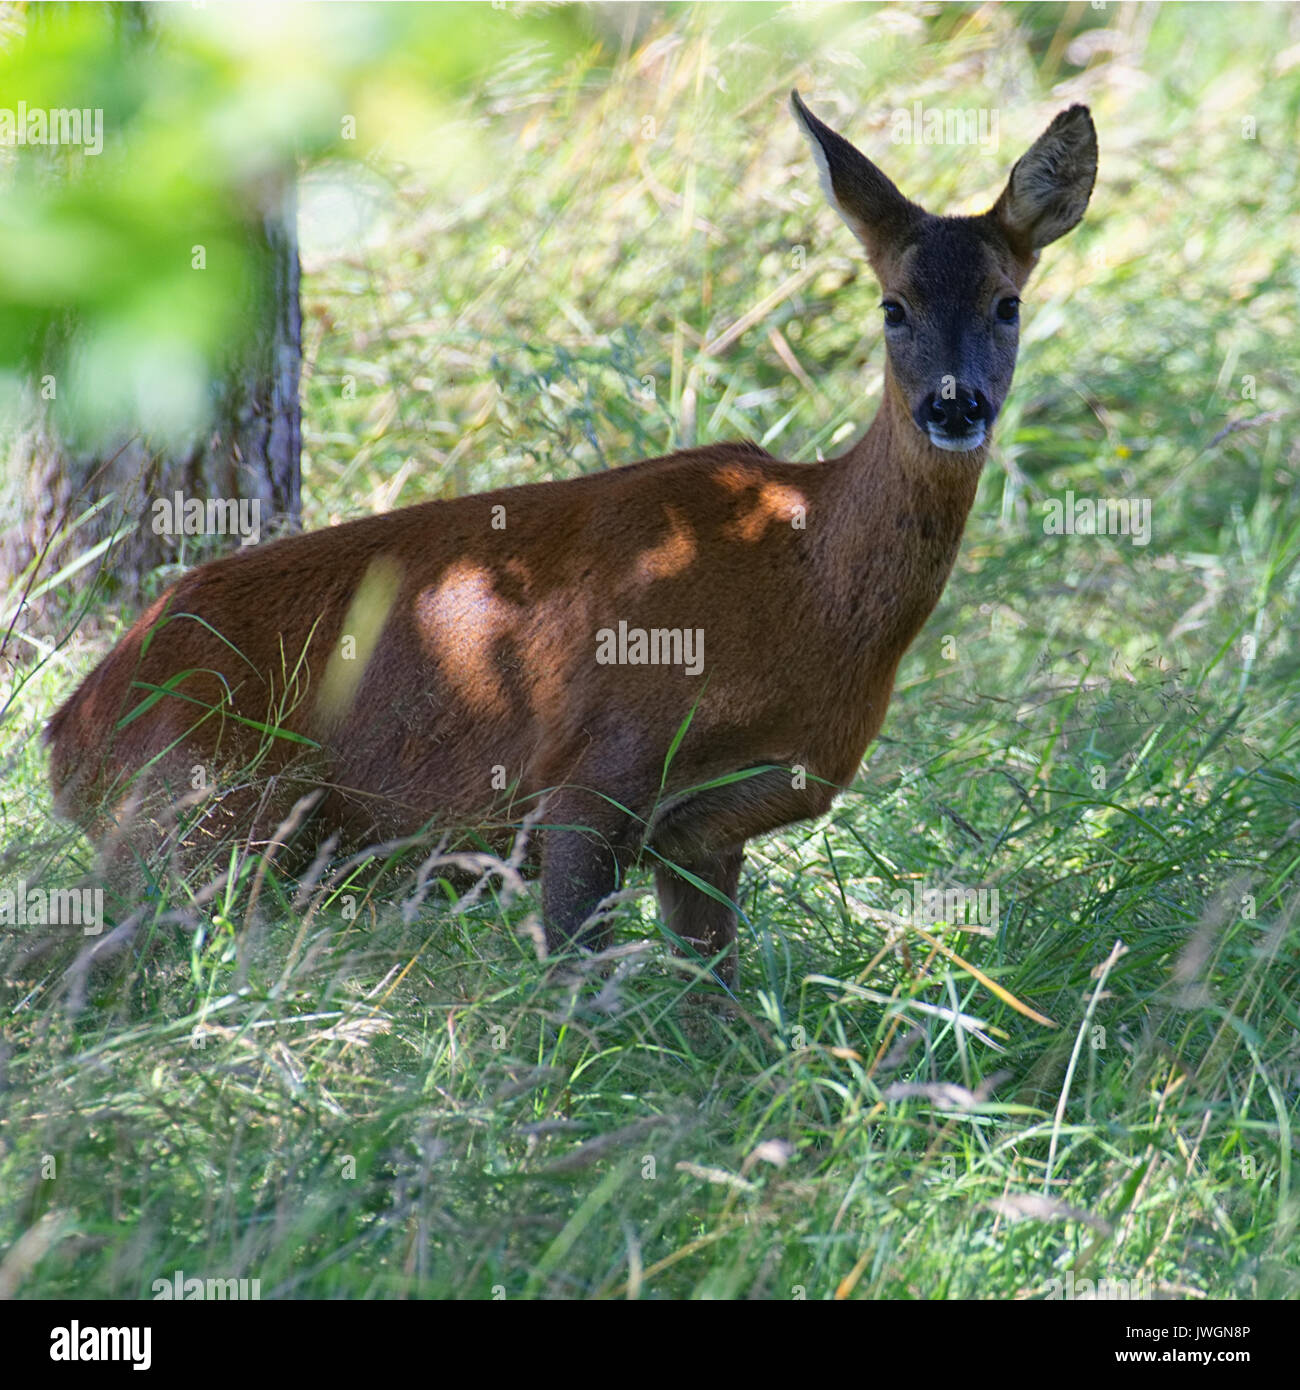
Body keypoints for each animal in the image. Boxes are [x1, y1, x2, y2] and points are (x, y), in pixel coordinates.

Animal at [46, 93, 1097, 987]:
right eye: (892, 306)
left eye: (1007, 303)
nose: (955, 406)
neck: (801, 585)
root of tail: (68, 734)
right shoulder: (588, 772)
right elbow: (573, 991)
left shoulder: (706, 830)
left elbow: (716, 1007)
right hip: (193, 811)